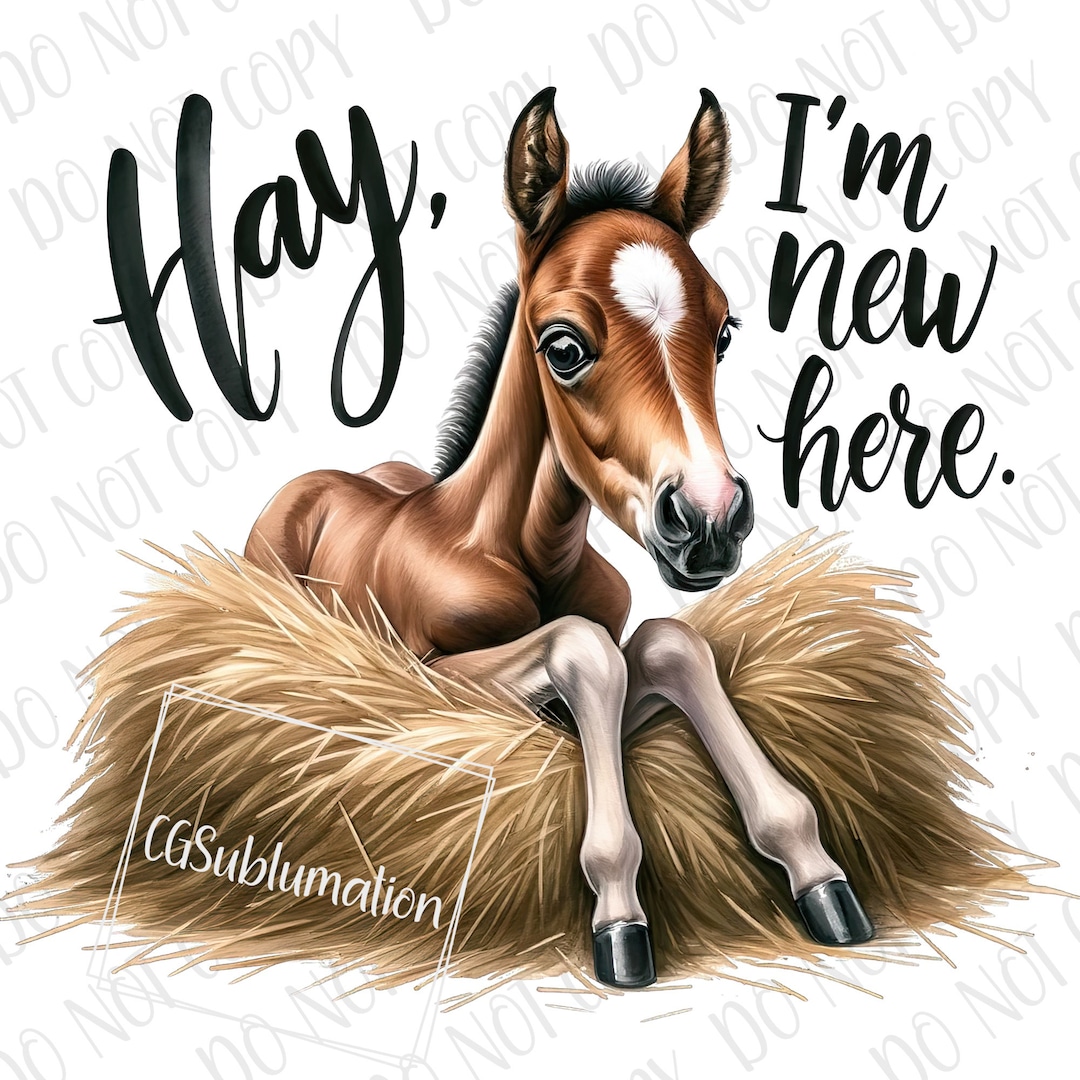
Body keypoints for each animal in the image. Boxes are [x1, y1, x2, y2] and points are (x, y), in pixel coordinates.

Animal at [245, 87, 873, 989]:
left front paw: (817, 873)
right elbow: (587, 650)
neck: (519, 550)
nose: (711, 519)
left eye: (724, 331)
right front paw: (618, 912)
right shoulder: (427, 676)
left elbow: (668, 645)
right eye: (565, 346)